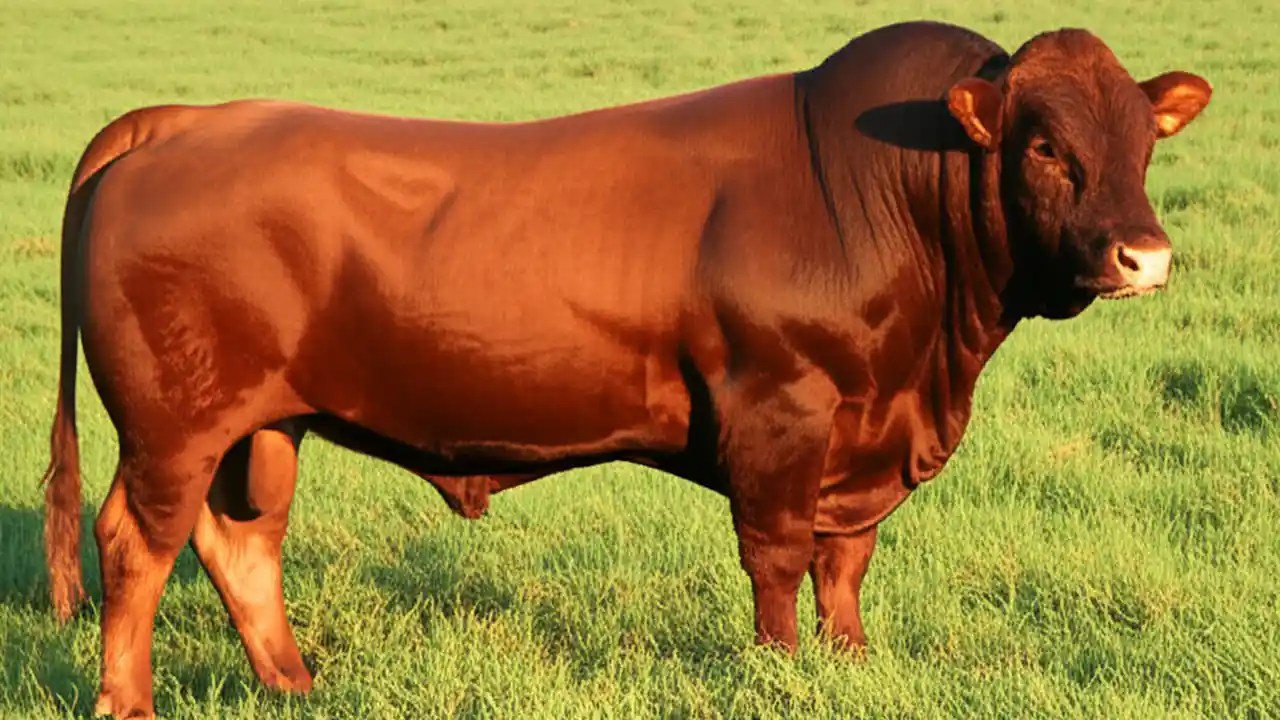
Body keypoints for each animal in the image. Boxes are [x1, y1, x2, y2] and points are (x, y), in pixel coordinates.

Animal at [37, 20, 1210, 719]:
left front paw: (851, 664)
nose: (1143, 256)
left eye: (1144, 142)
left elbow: (846, 562)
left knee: (239, 539)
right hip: (174, 421)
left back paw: (294, 683)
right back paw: (129, 702)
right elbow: (779, 557)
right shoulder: (781, 408)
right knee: (134, 543)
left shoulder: (864, 432)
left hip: (262, 420)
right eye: (1043, 145)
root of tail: (181, 122)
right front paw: (782, 672)